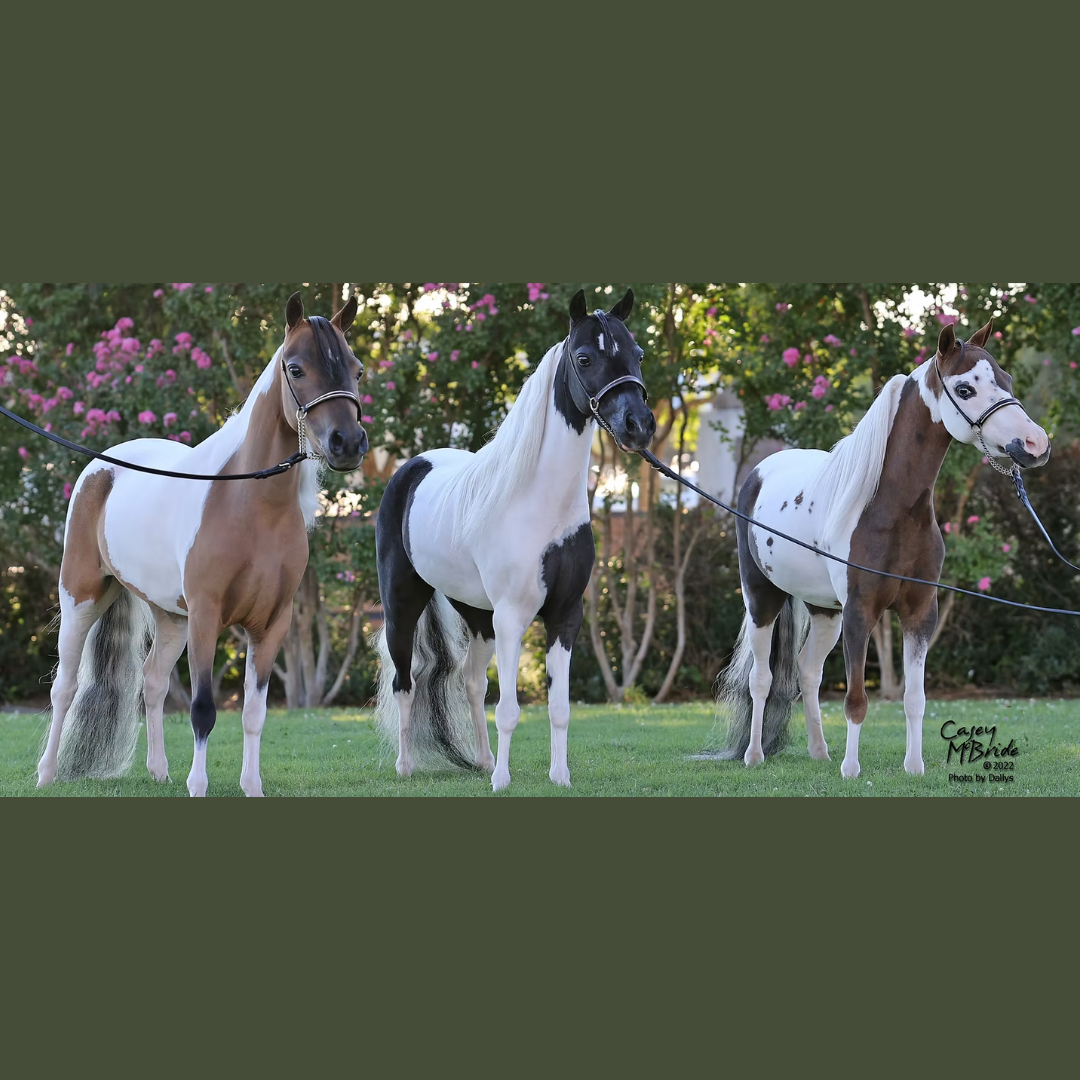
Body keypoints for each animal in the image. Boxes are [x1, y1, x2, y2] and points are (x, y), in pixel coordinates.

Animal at [36, 292, 368, 797]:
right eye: (296, 368)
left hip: (172, 617)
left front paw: (251, 787)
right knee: (65, 687)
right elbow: (204, 710)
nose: (346, 443)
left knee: (153, 682)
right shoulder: (208, 616)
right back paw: (47, 774)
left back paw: (158, 770)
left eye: (357, 369)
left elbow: (253, 713)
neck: (248, 502)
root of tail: (102, 466)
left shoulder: (271, 624)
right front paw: (199, 786)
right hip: (82, 598)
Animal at [373, 288, 656, 792]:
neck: (537, 503)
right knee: (405, 683)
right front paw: (503, 782)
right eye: (584, 358)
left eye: (637, 354)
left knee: (470, 682)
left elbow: (559, 707)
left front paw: (559, 776)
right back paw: (407, 766)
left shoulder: (564, 616)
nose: (637, 425)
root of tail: (412, 467)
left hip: (476, 614)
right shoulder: (512, 617)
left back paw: (484, 760)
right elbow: (508, 710)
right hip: (403, 606)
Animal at [716, 318, 1050, 778]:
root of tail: (759, 472)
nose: (1035, 444)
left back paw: (819, 752)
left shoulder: (920, 612)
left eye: (1007, 379)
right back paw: (754, 756)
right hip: (762, 598)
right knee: (762, 680)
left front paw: (914, 766)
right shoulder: (861, 611)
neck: (890, 509)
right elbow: (856, 699)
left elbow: (914, 699)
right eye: (965, 388)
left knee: (808, 673)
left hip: (824, 611)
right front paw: (851, 770)